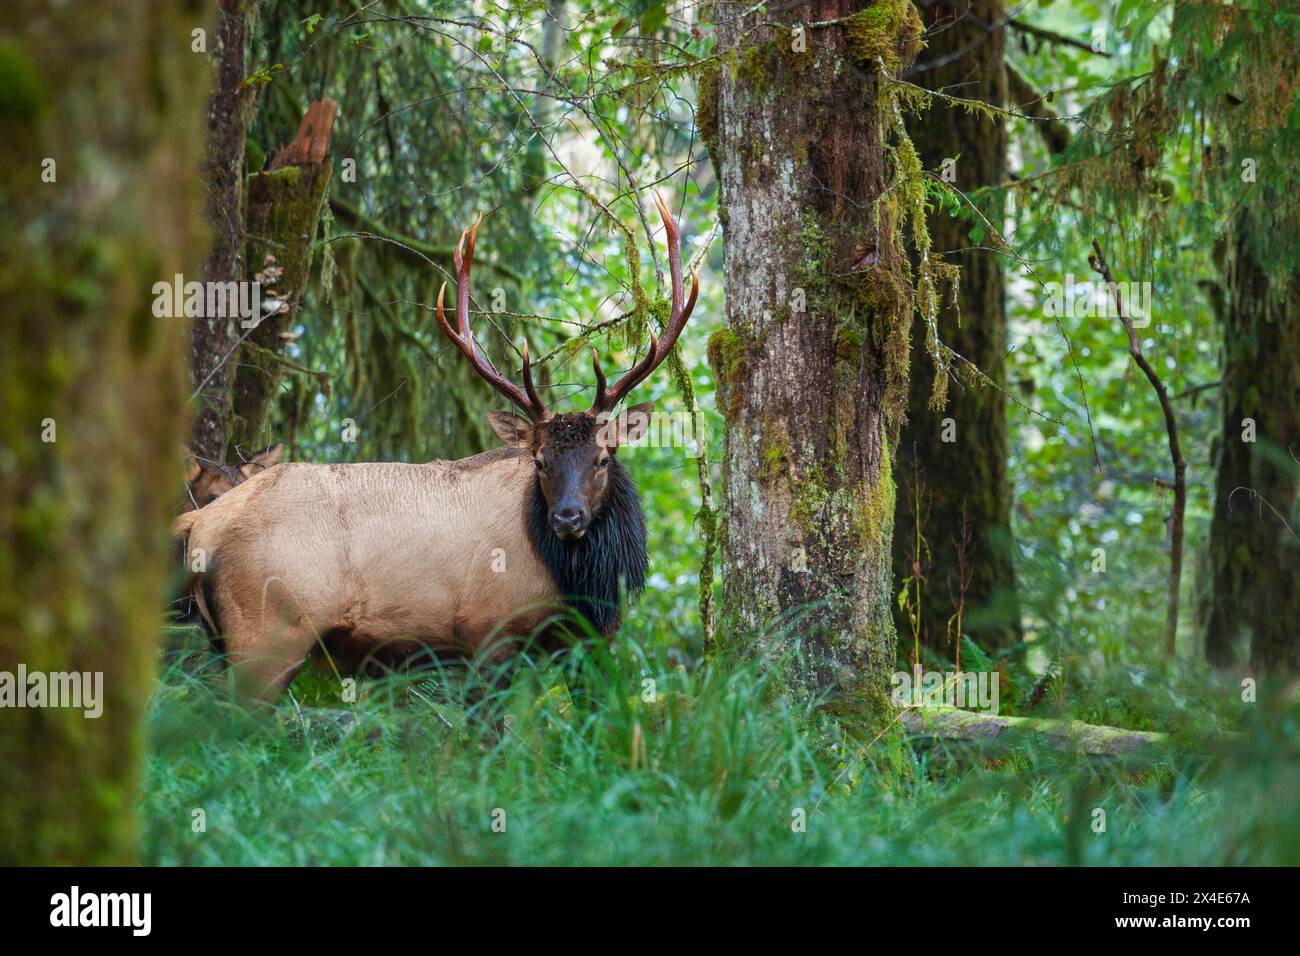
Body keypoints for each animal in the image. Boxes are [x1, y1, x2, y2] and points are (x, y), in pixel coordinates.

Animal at [173, 194, 698, 699]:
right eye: (539, 460)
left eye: (603, 458)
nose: (567, 518)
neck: (578, 585)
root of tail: (200, 521)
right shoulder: (488, 632)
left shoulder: (586, 640)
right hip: (266, 634)